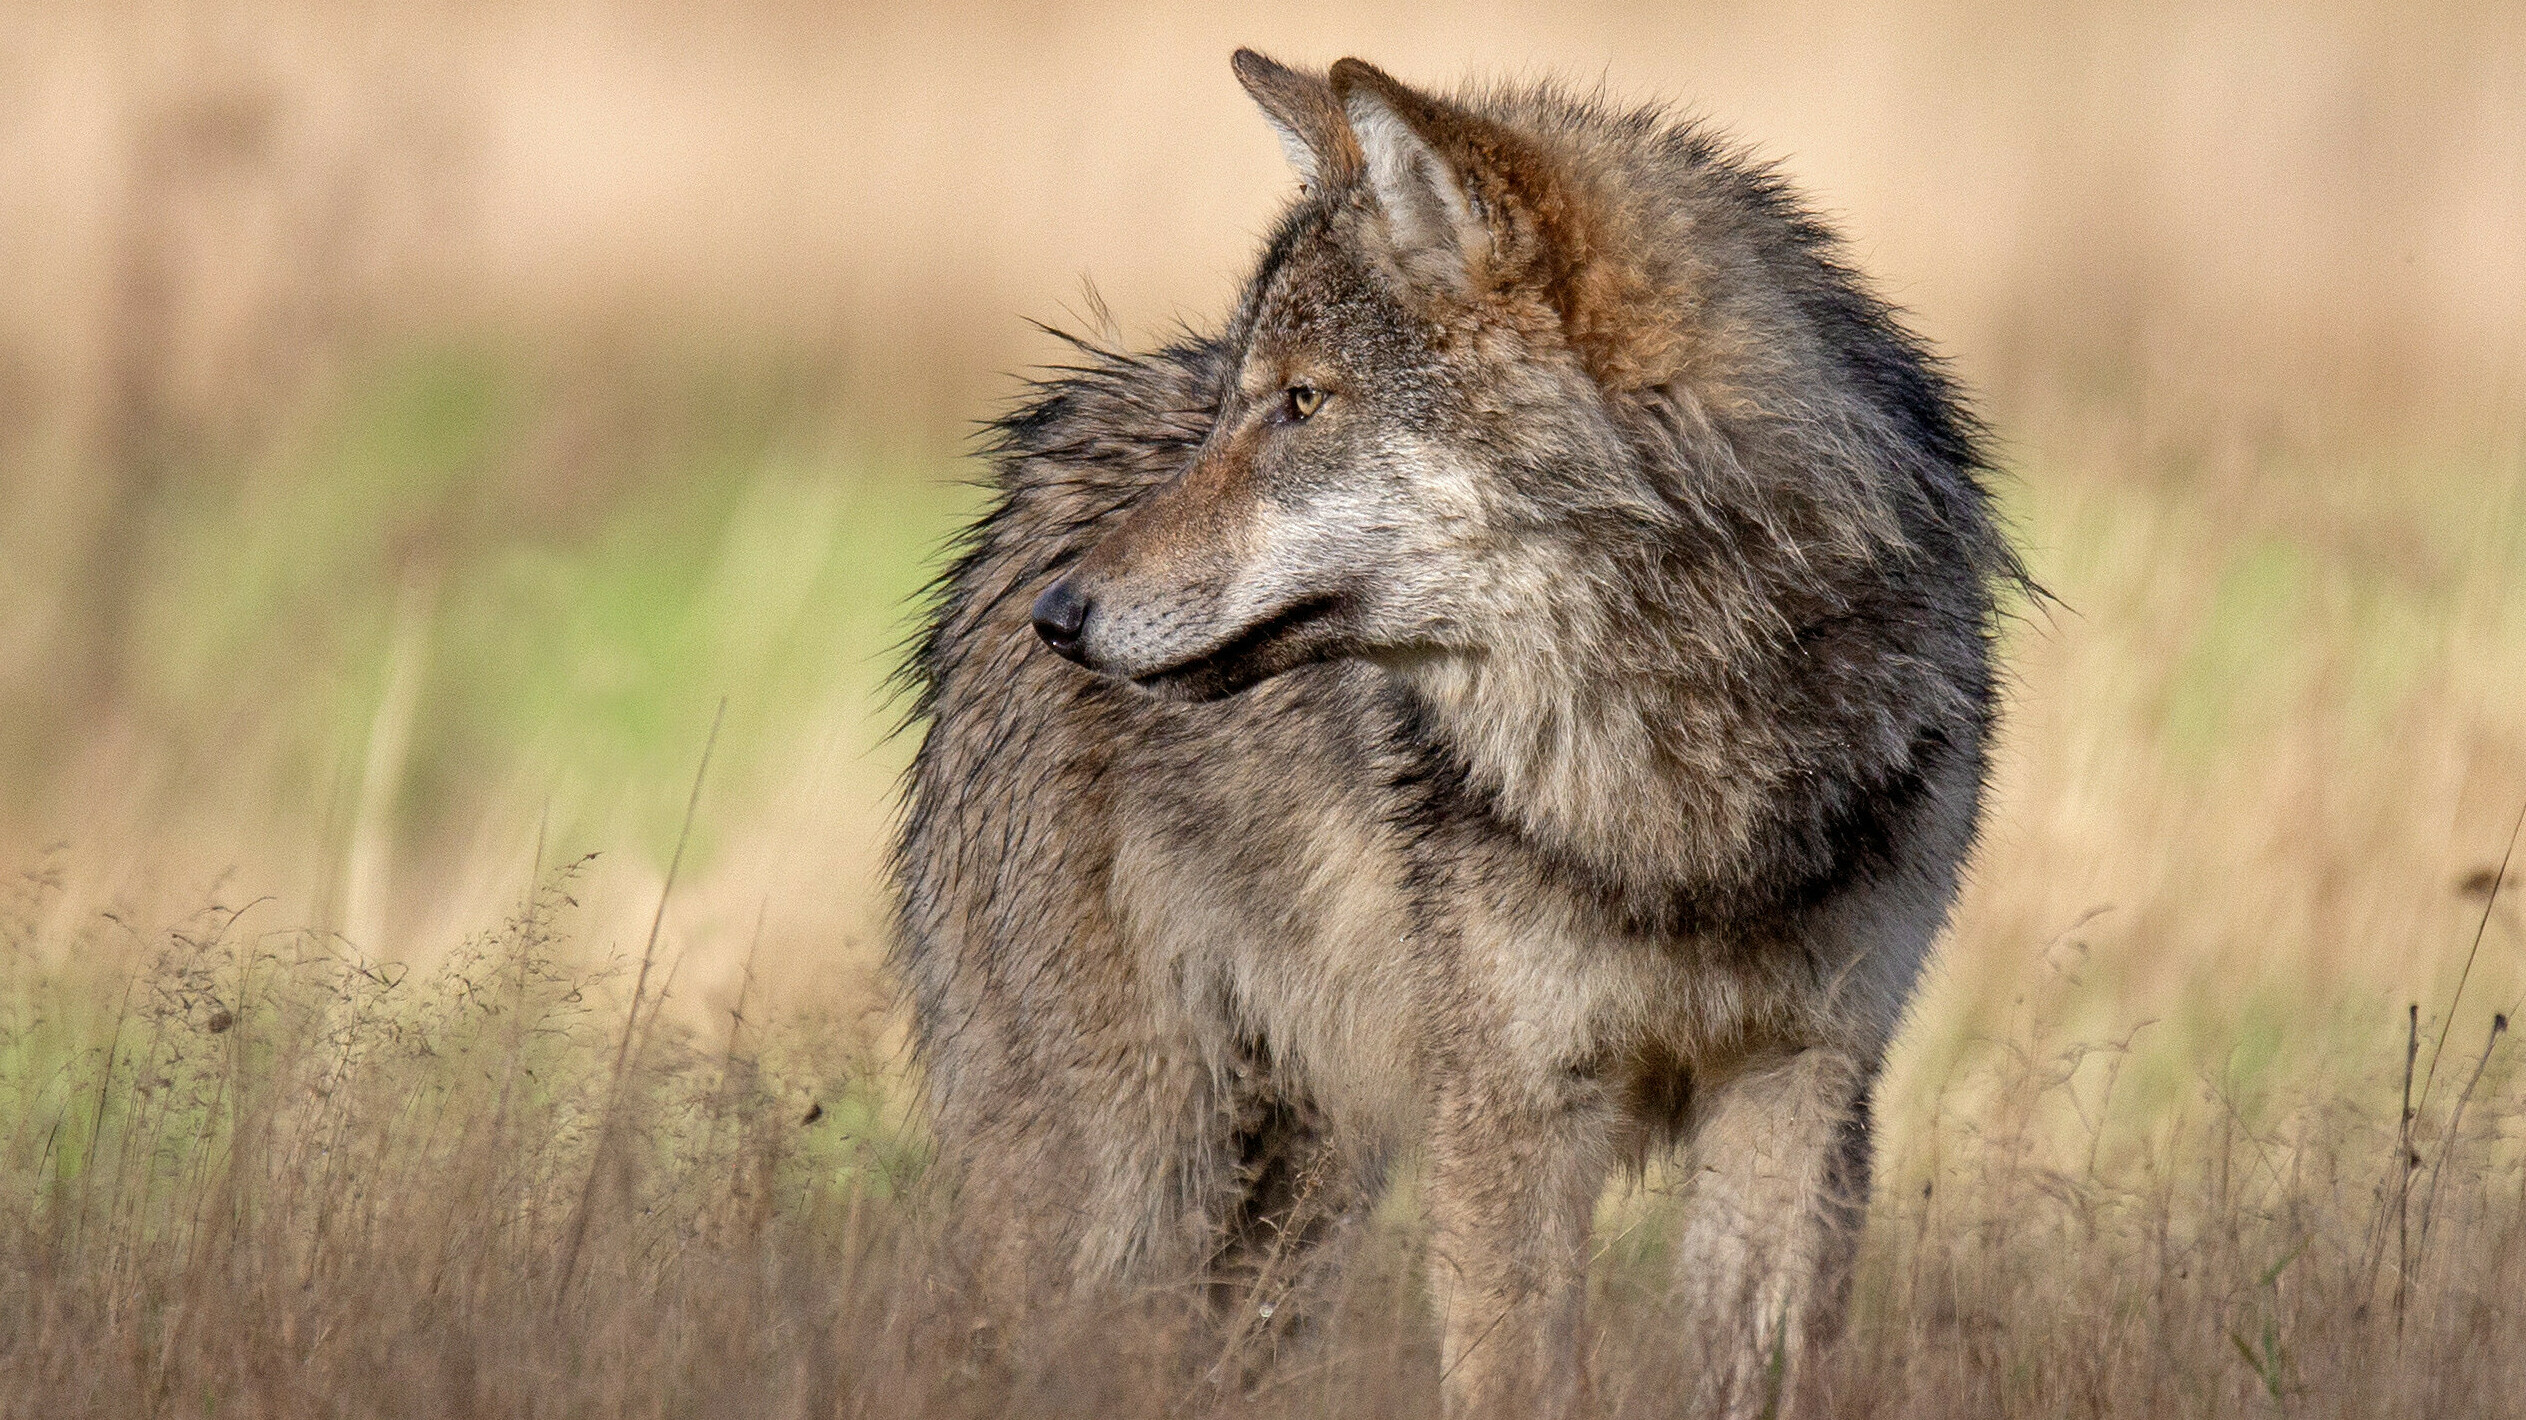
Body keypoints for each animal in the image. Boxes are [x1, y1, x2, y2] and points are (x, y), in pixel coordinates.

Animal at [893, 50, 2020, 1418]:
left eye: (1302, 402)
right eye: (1244, 406)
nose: (1060, 614)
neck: (1679, 793)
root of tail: (1022, 490)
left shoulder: (1802, 1088)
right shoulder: (1512, 1118)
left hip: (1297, 1202)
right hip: (1127, 1178)